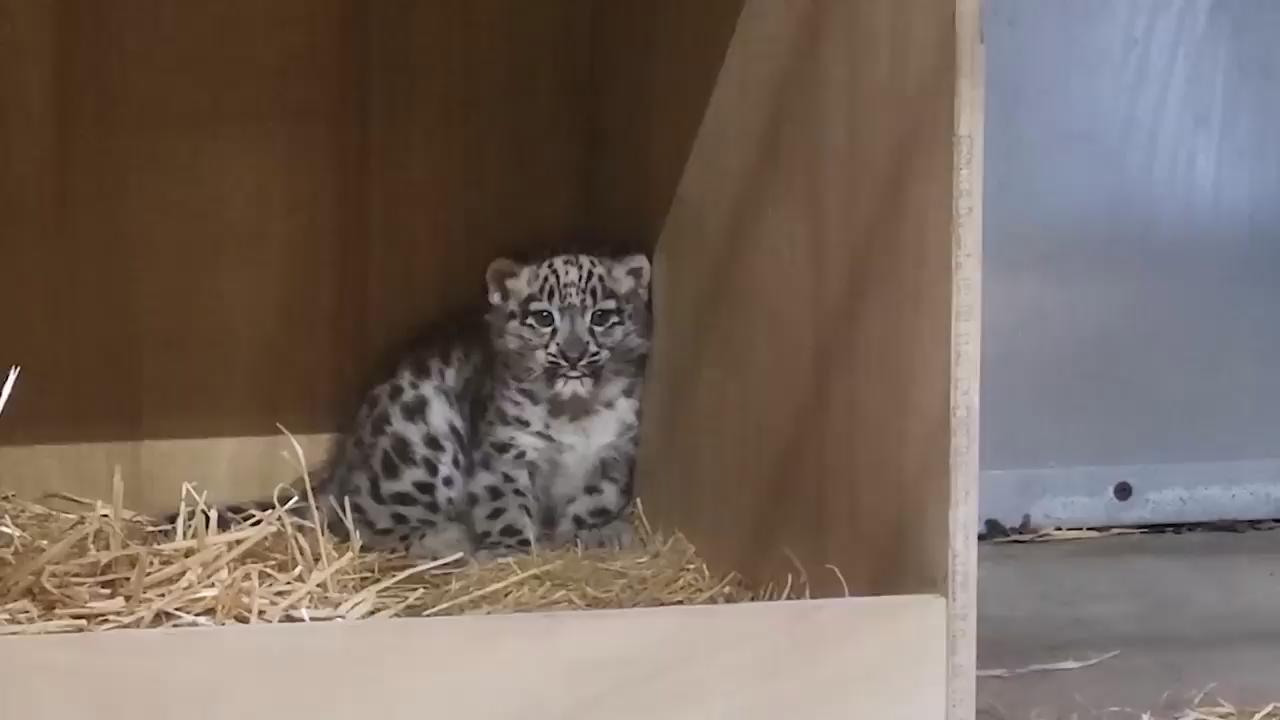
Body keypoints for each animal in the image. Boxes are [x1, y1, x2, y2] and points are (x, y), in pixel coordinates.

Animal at [174, 252, 652, 561]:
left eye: (602, 317)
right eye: (543, 317)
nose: (573, 355)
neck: (575, 415)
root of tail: (341, 466)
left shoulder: (615, 453)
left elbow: (594, 500)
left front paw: (594, 533)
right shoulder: (505, 454)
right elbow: (504, 504)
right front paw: (509, 549)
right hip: (423, 444)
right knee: (364, 521)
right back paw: (446, 539)